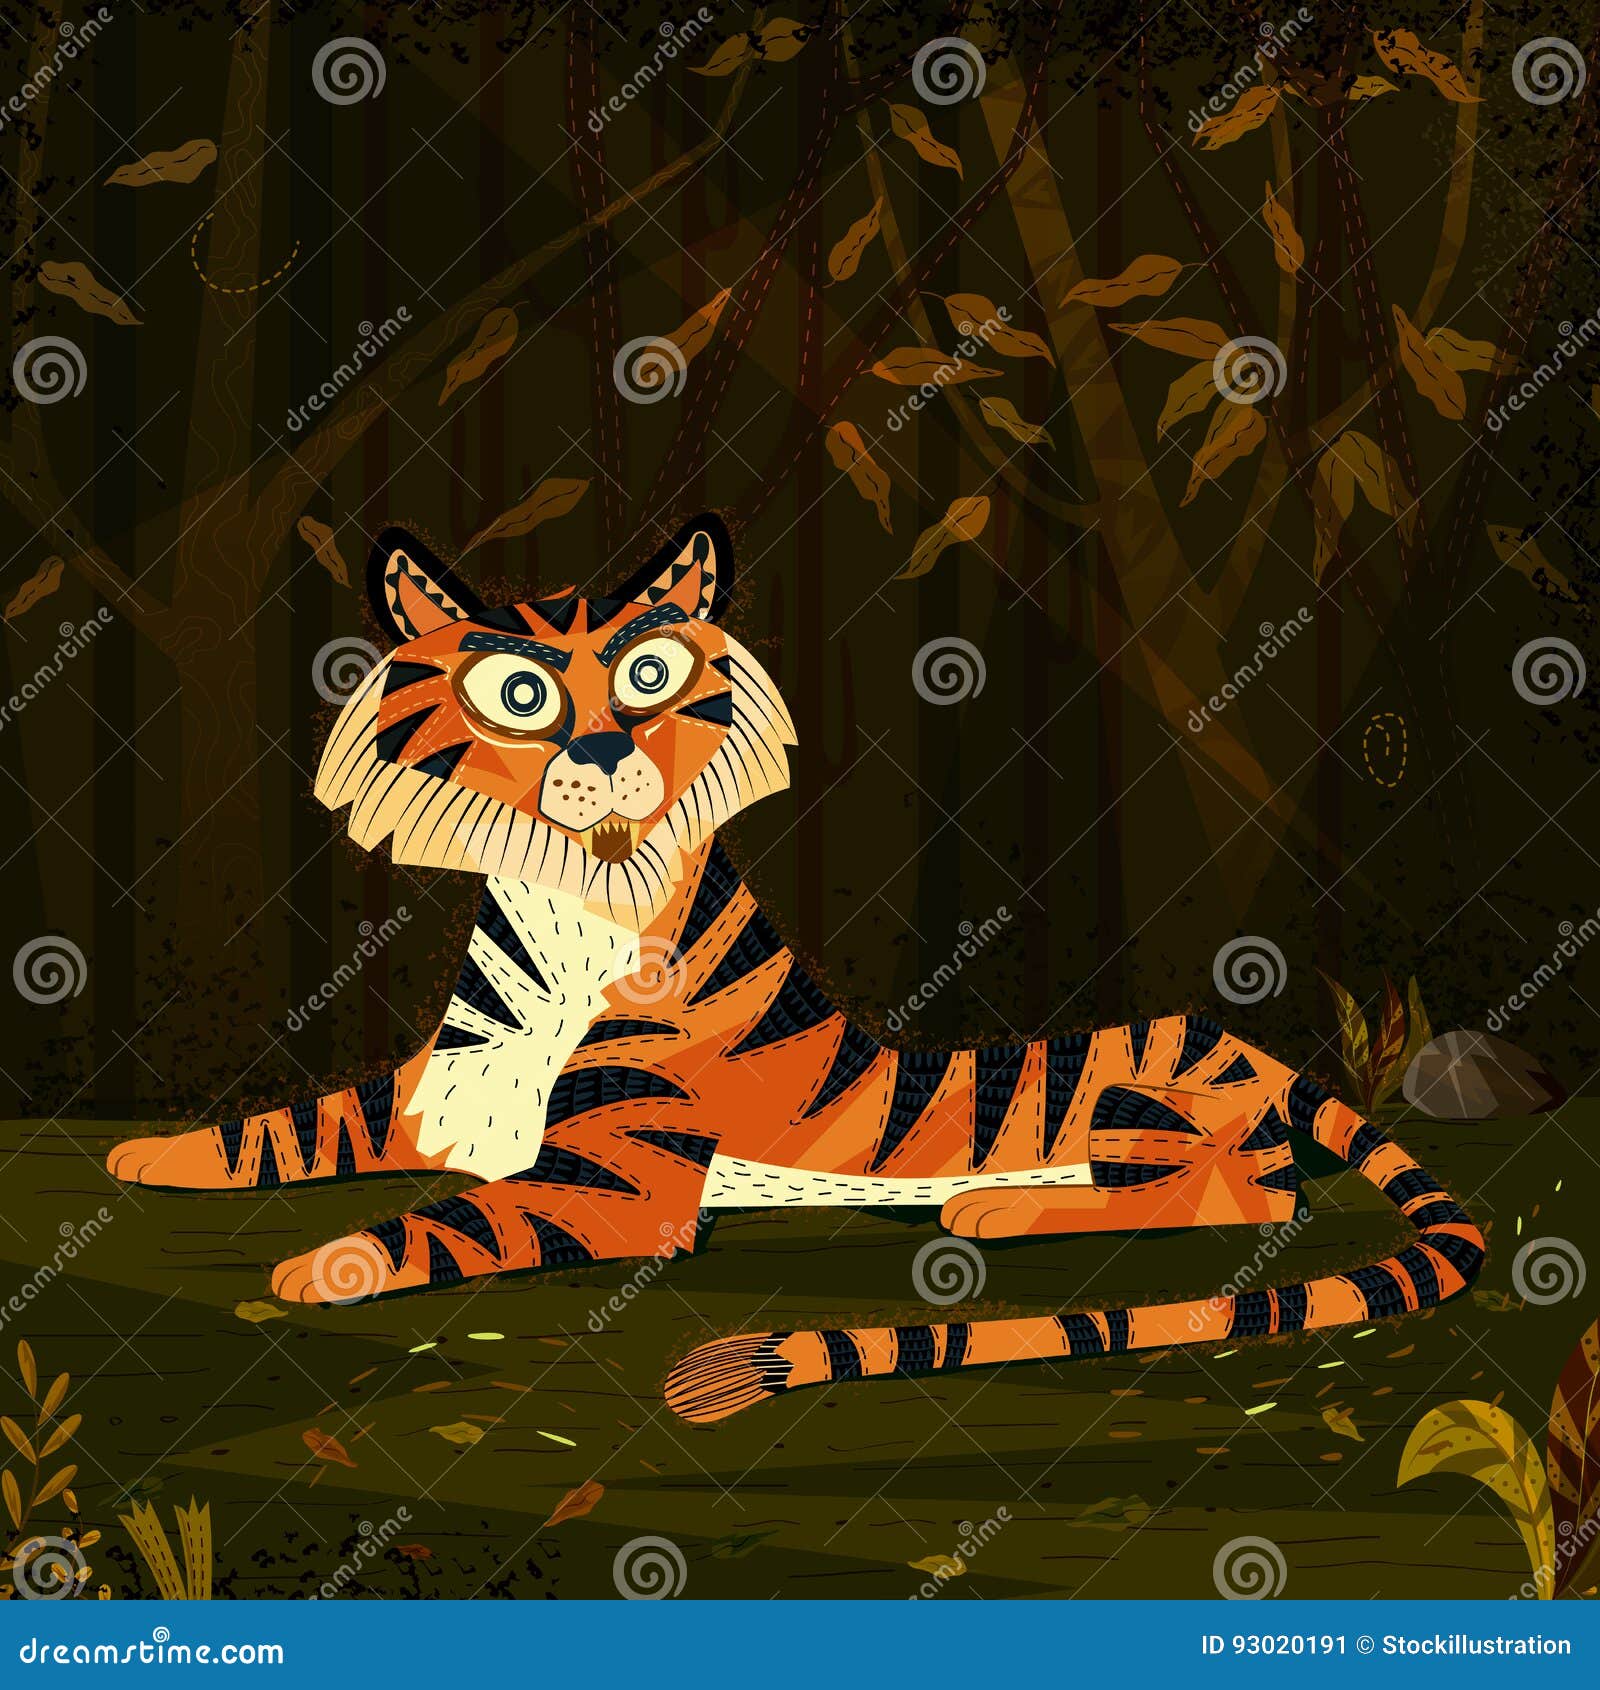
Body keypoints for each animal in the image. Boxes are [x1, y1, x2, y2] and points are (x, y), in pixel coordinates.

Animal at [107, 516, 1485, 1423]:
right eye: (519, 694)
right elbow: (288, 1125)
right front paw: (147, 1155)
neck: (569, 906)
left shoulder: (620, 1185)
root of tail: (1262, 1048)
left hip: (1139, 1095)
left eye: (649, 674)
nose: (605, 753)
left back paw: (992, 1208)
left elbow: (455, 1218)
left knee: (1249, 1198)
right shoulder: (452, 1086)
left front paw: (321, 1264)